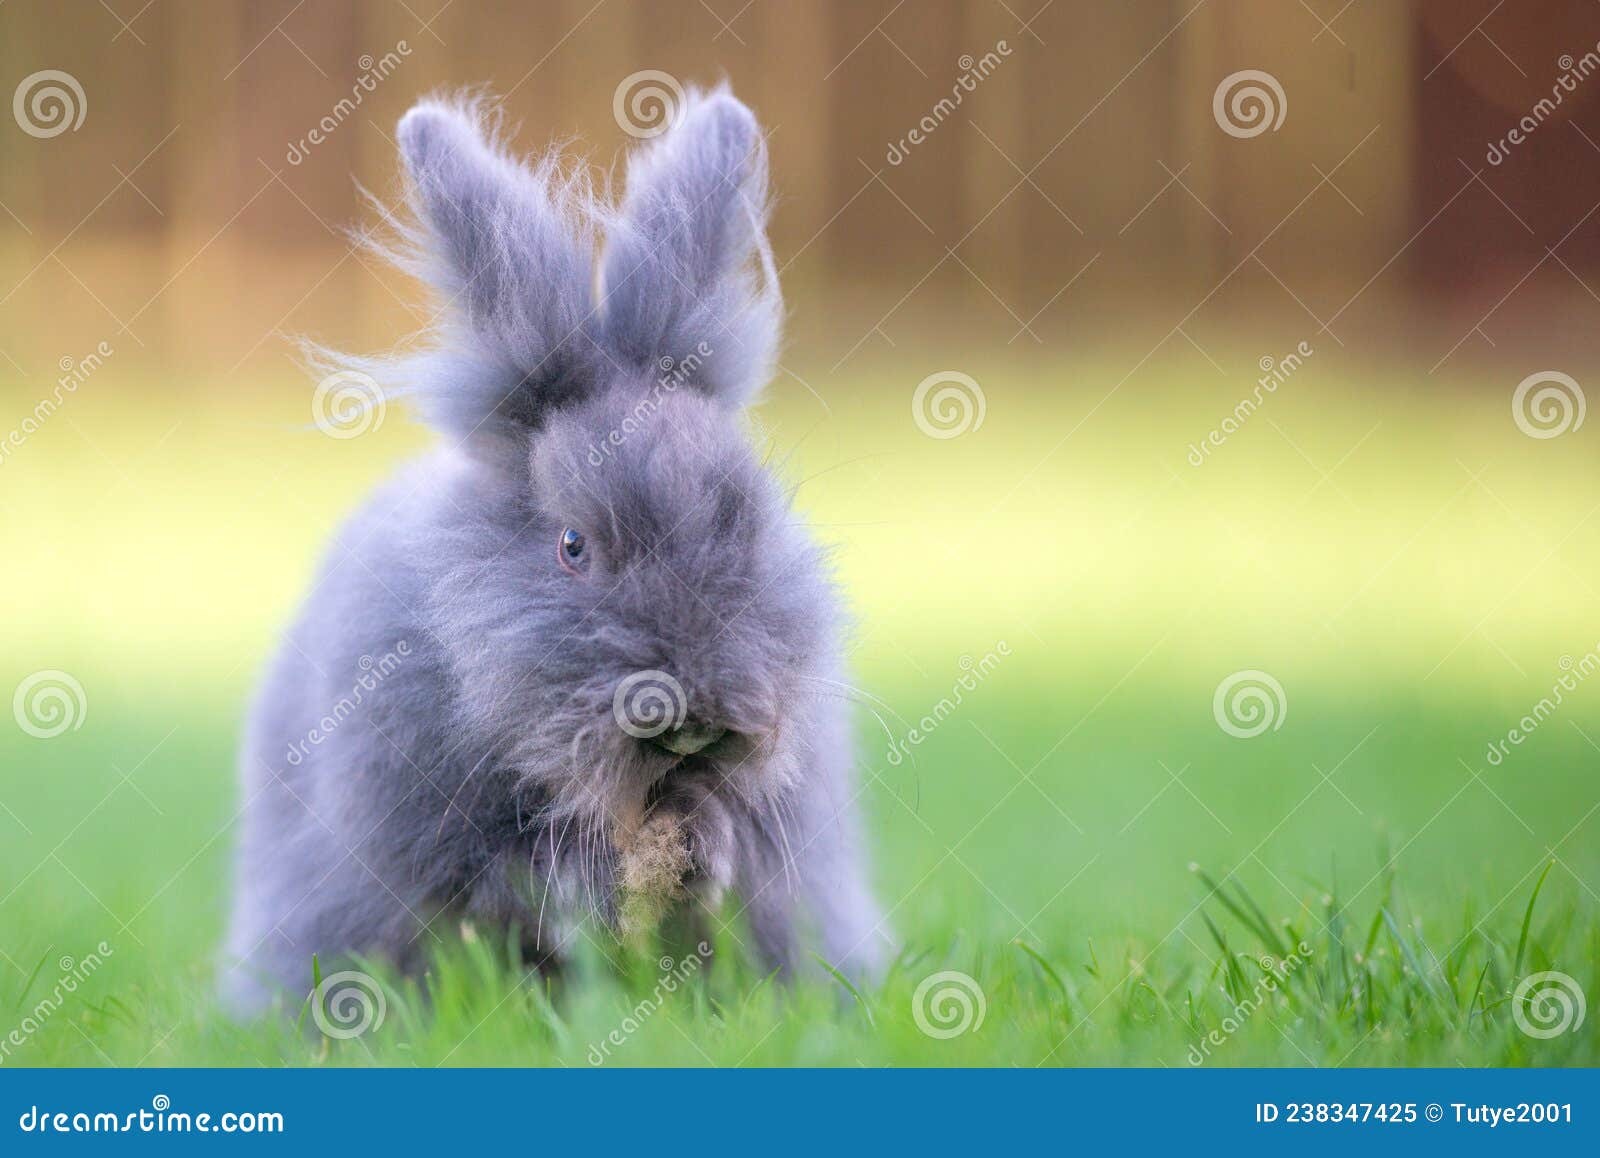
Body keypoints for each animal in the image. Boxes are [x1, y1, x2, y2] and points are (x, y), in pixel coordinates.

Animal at [220, 86, 892, 1015]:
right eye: (573, 545)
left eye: (747, 517)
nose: (695, 713)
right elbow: (520, 874)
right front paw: (626, 875)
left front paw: (701, 851)